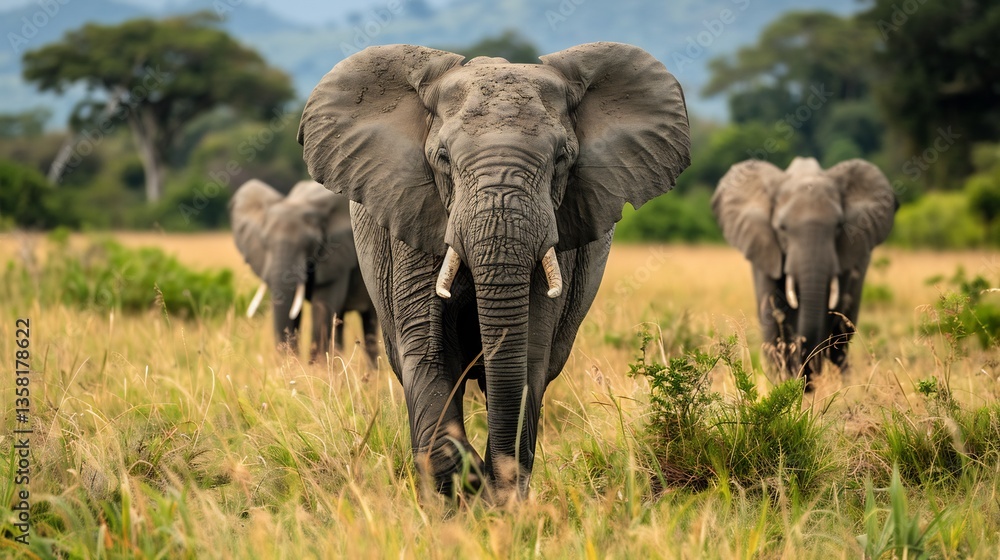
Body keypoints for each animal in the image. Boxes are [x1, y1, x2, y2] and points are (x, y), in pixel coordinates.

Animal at [229, 178, 379, 365]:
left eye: (311, 243)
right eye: (264, 241)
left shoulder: (337, 256)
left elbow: (321, 308)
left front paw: (317, 369)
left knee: (370, 321)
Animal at [297, 42, 690, 501]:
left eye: (562, 159)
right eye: (443, 158)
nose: (486, 481)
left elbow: (528, 357)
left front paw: (497, 499)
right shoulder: (412, 219)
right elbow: (429, 353)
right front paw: (462, 490)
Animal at [712, 157, 897, 389]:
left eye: (838, 226)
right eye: (782, 228)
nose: (804, 381)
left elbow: (828, 317)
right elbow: (772, 318)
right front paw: (780, 383)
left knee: (842, 336)